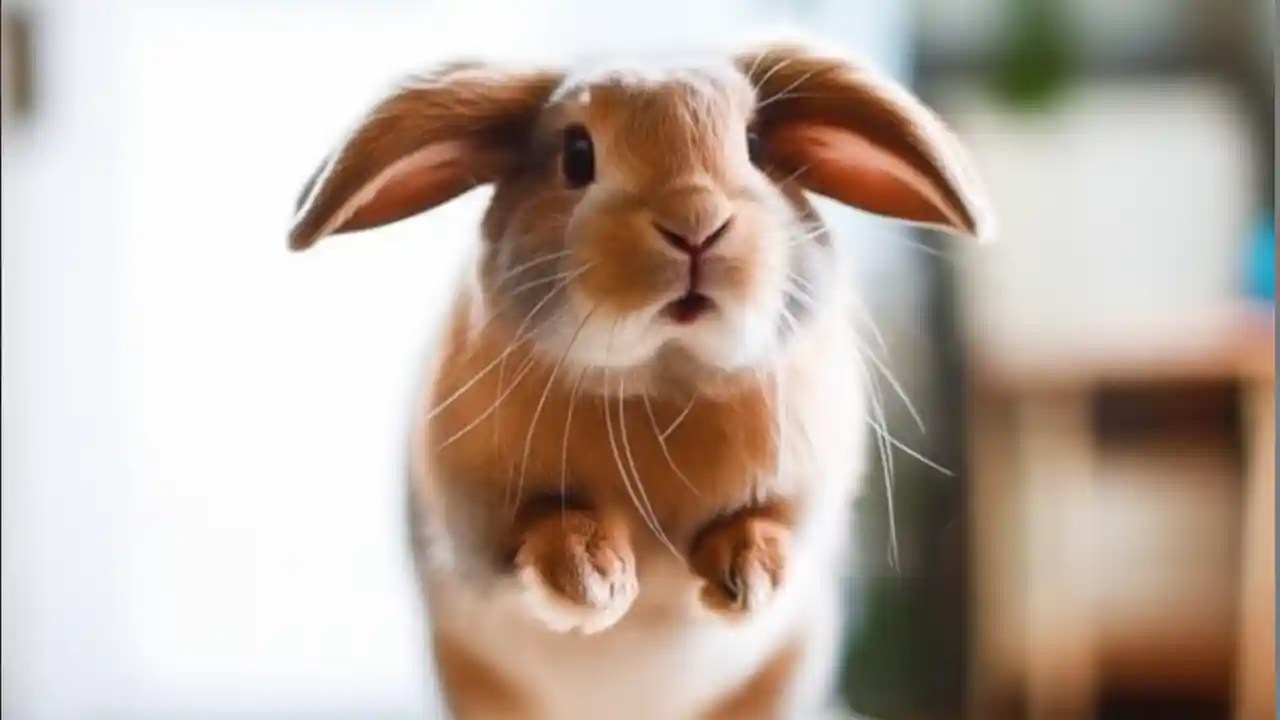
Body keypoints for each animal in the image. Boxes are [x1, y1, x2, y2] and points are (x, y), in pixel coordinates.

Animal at [289, 40, 990, 720]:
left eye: (756, 146)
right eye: (576, 155)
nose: (695, 222)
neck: (663, 379)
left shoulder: (800, 501)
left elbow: (766, 525)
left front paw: (745, 577)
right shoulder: (481, 532)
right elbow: (545, 529)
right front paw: (596, 577)